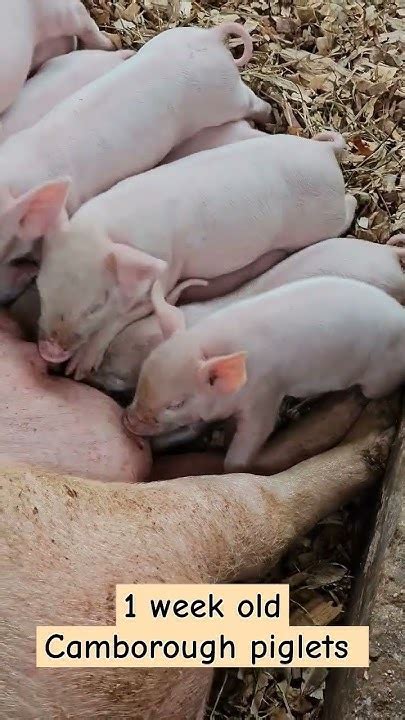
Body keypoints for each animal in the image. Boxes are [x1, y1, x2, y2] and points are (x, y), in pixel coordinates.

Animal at [34, 133, 355, 378]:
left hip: (326, 219)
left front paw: (78, 370)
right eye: (41, 289)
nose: (49, 351)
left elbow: (124, 315)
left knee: (350, 204)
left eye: (95, 306)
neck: (105, 231)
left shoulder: (167, 272)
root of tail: (323, 152)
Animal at [124, 276, 405, 472]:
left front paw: (233, 468)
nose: (128, 420)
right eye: (141, 375)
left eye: (176, 404)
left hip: (379, 379)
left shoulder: (264, 395)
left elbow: (254, 434)